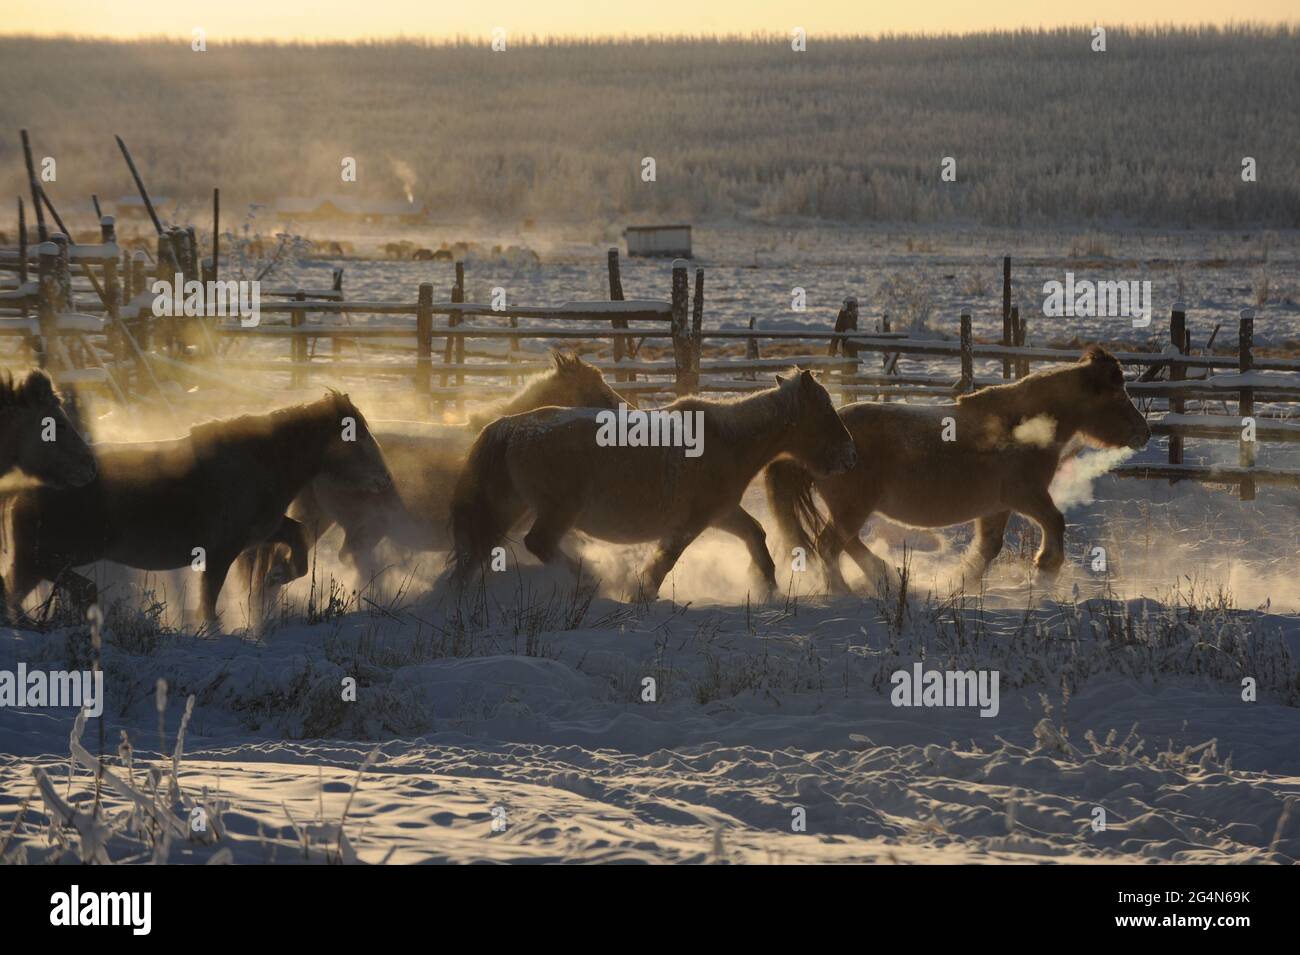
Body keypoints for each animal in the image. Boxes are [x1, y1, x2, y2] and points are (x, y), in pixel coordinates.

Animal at [0, 391, 392, 627]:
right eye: (355, 437)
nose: (385, 480)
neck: (260, 462)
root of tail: (25, 488)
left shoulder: (261, 531)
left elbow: (298, 538)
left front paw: (277, 576)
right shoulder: (221, 551)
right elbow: (209, 601)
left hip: (43, 561)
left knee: (17, 589)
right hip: (53, 556)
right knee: (33, 584)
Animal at [449, 369, 858, 598]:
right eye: (826, 410)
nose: (850, 456)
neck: (727, 440)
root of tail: (511, 426)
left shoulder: (723, 513)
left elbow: (757, 539)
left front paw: (767, 591)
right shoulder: (692, 522)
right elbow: (665, 562)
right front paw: (639, 593)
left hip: (512, 508)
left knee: (479, 550)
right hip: (556, 511)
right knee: (539, 544)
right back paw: (594, 581)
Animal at [765, 346, 1150, 594]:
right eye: (1118, 396)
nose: (1144, 433)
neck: (1021, 427)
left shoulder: (997, 506)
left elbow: (988, 548)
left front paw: (961, 583)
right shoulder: (1026, 496)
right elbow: (1054, 522)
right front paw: (1046, 566)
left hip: (852, 510)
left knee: (846, 544)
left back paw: (883, 575)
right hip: (852, 508)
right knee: (829, 545)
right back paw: (844, 592)